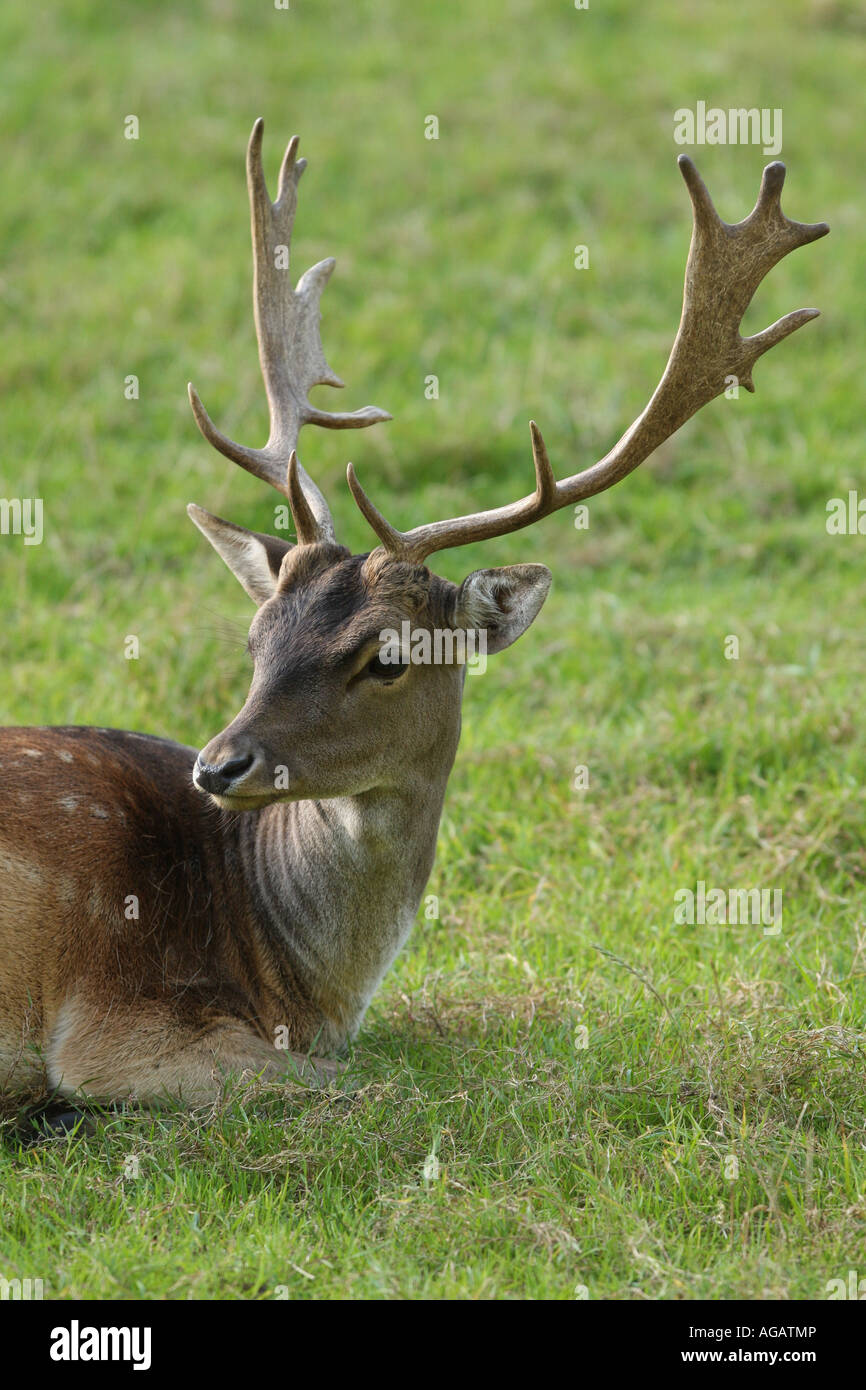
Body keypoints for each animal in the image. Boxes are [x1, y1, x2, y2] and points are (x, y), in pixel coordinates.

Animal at [0, 121, 827, 1107]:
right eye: (257, 638)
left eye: (388, 656)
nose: (219, 765)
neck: (301, 990)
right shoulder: (112, 1032)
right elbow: (363, 1088)